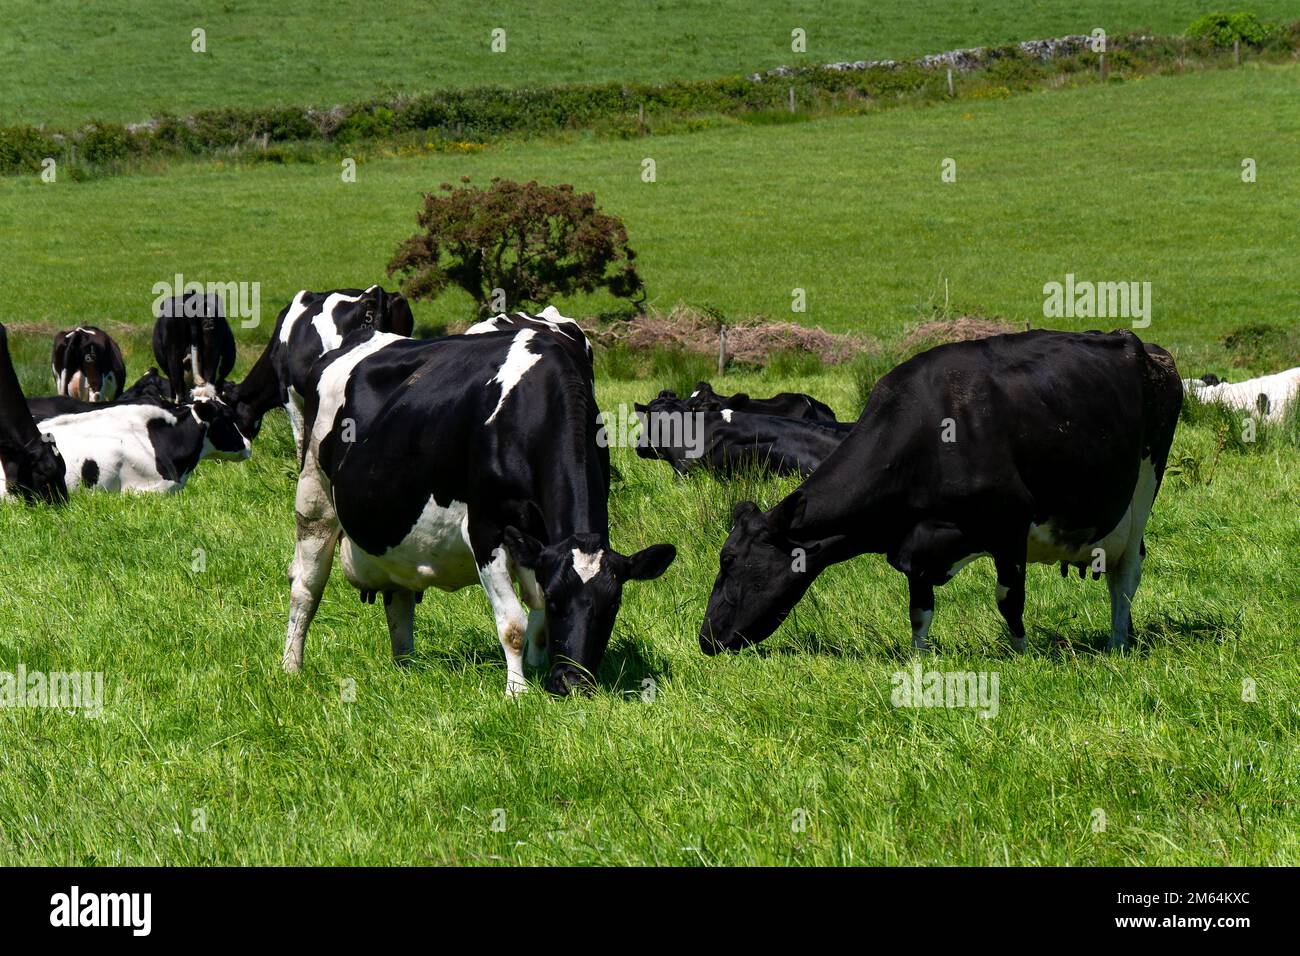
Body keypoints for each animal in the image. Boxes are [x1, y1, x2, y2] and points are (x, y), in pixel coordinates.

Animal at [283, 321, 677, 696]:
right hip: (314, 494)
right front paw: (516, 692)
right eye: (555, 601)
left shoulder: (537, 544)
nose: (572, 683)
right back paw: (291, 667)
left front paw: (536, 670)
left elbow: (535, 625)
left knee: (399, 596)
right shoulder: (487, 530)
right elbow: (514, 625)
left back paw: (406, 668)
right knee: (306, 585)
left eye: (613, 604)